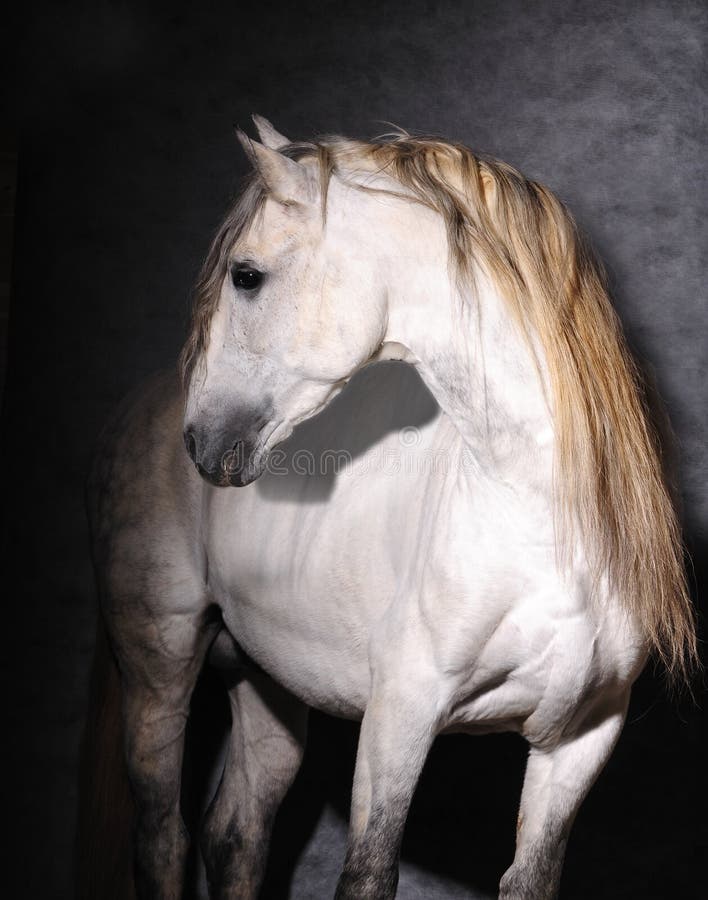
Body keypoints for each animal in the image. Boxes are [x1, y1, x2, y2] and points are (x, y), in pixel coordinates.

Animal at [79, 115, 697, 900]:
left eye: (246, 275)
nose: (203, 441)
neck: (537, 527)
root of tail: (134, 409)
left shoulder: (579, 739)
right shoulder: (398, 718)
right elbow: (369, 873)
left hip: (265, 682)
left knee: (234, 833)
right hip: (158, 666)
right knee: (163, 836)